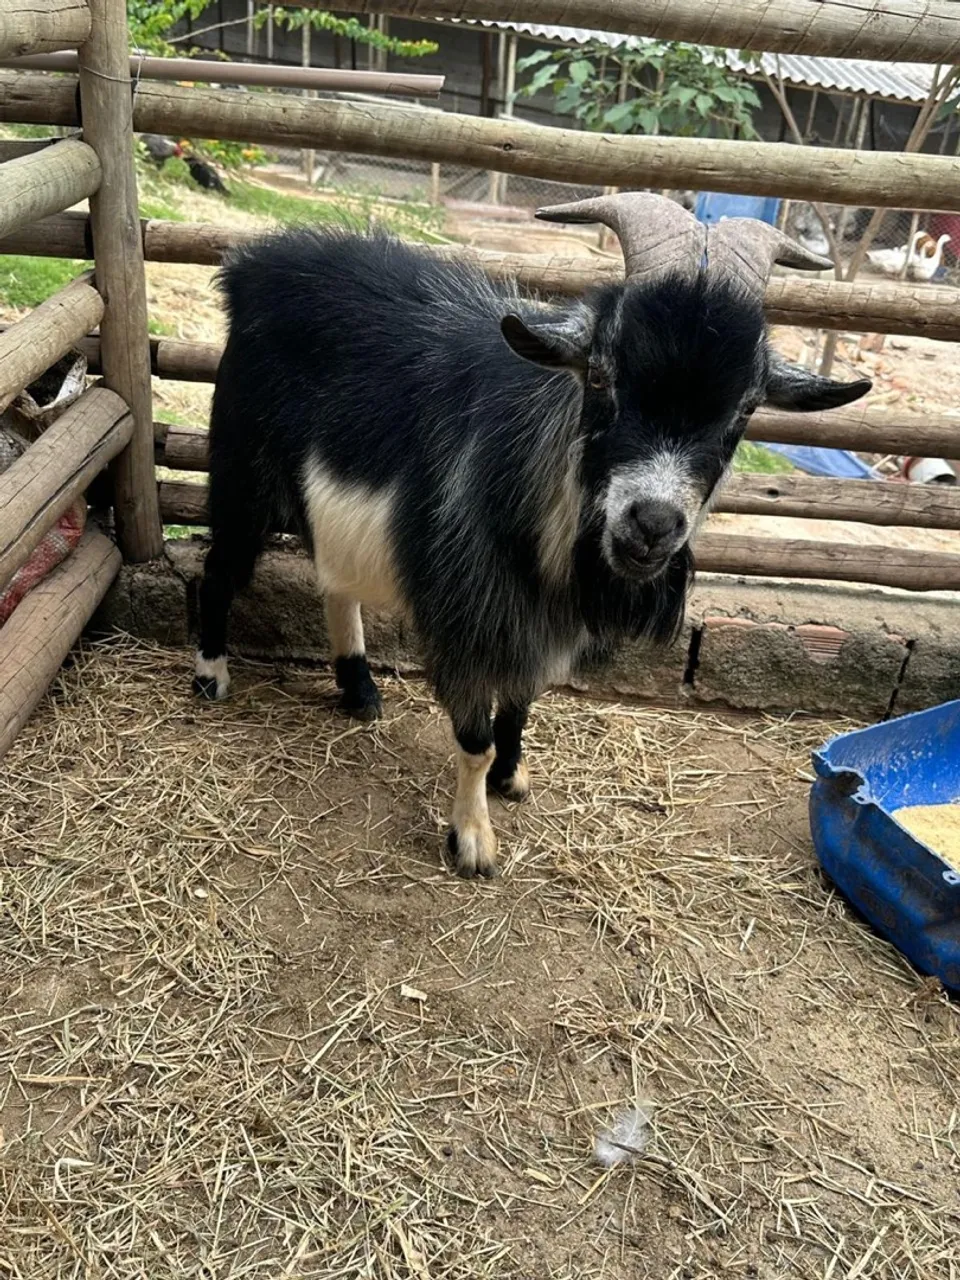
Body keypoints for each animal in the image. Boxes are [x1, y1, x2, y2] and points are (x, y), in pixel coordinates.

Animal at [193, 193, 871, 879]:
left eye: (747, 407)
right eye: (599, 375)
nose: (651, 526)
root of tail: (255, 264)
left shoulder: (537, 622)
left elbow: (520, 705)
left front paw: (511, 778)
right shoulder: (467, 611)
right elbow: (474, 739)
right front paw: (472, 840)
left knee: (336, 581)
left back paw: (359, 688)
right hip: (242, 473)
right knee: (218, 570)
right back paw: (211, 678)